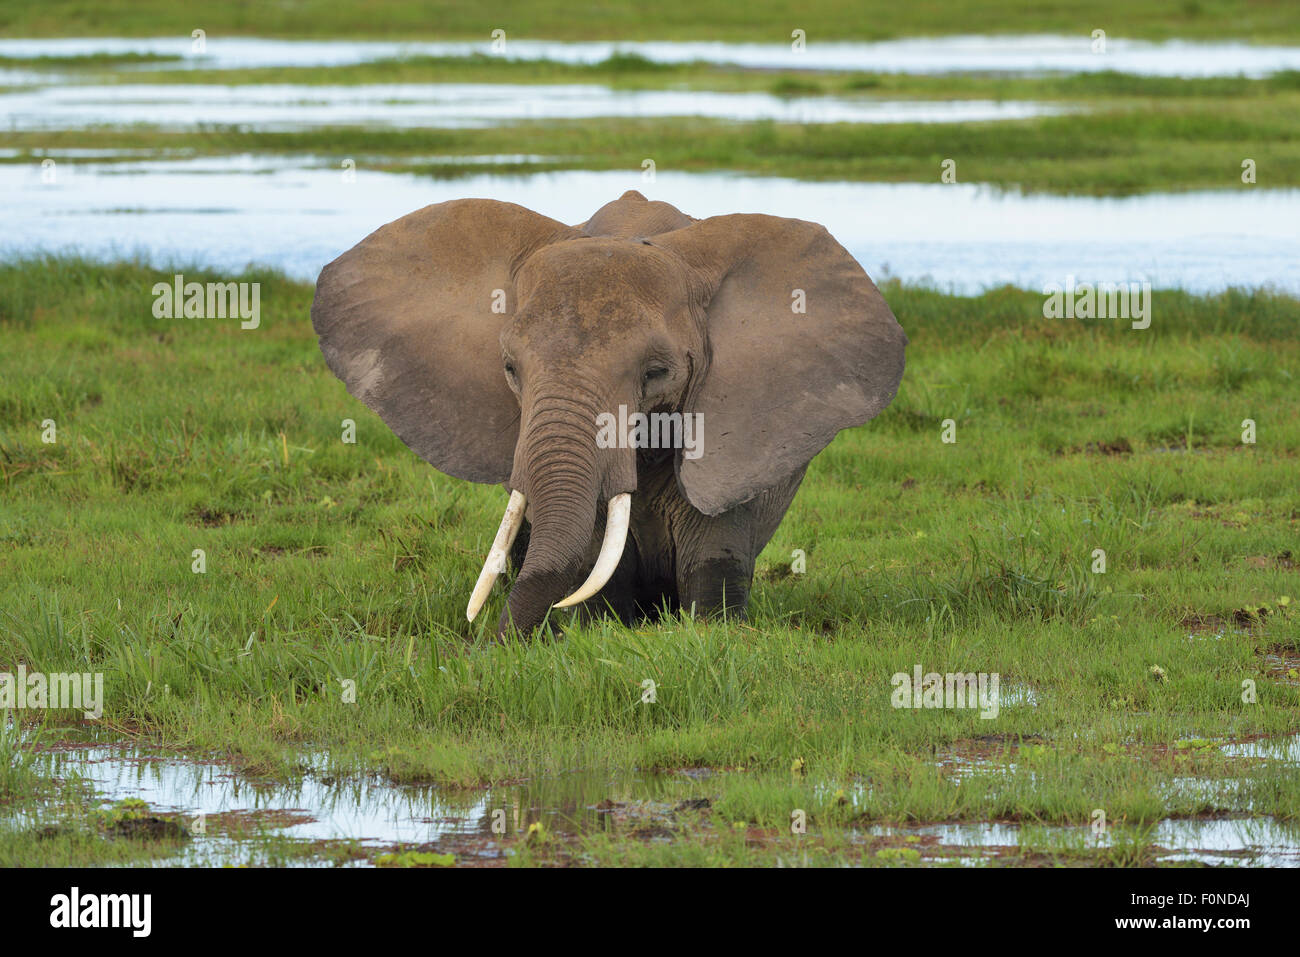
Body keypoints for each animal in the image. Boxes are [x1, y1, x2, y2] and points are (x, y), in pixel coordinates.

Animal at [311, 190, 907, 637]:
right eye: (510, 369)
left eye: (656, 373)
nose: (486, 645)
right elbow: (600, 568)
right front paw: (592, 626)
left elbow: (712, 561)